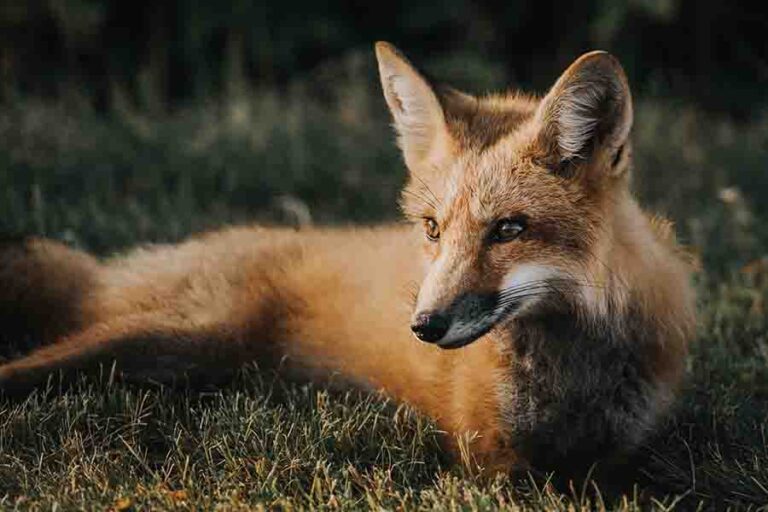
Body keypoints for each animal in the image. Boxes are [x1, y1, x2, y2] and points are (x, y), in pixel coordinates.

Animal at [0, 43, 695, 475]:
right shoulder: (489, 458)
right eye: (432, 229)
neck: (570, 375)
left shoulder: (627, 453)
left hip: (179, 359)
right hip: (173, 333)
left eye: (508, 229)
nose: (423, 326)